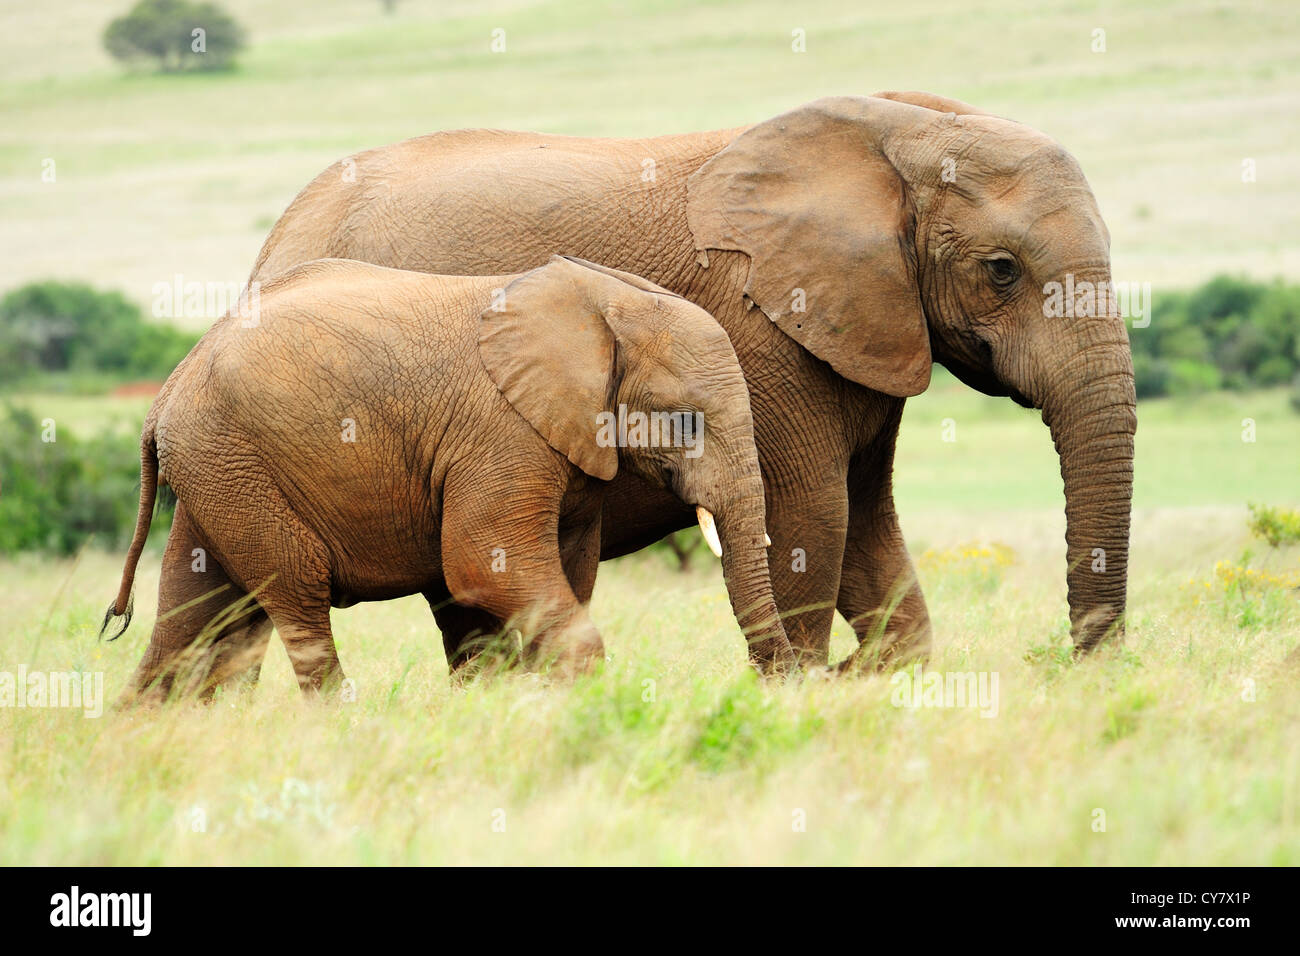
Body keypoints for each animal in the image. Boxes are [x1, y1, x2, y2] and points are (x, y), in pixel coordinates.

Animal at [101, 255, 794, 701]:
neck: (603, 304)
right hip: (235, 463)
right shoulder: (503, 432)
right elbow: (485, 564)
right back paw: (338, 723)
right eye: (686, 422)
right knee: (295, 595)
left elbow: (562, 573)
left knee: (198, 608)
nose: (779, 693)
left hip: (217, 469)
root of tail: (166, 392)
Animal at [240, 89, 1136, 673]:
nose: (1083, 667)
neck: (908, 131)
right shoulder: (766, 327)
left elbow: (871, 524)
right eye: (1002, 270)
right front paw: (808, 692)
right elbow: (814, 517)